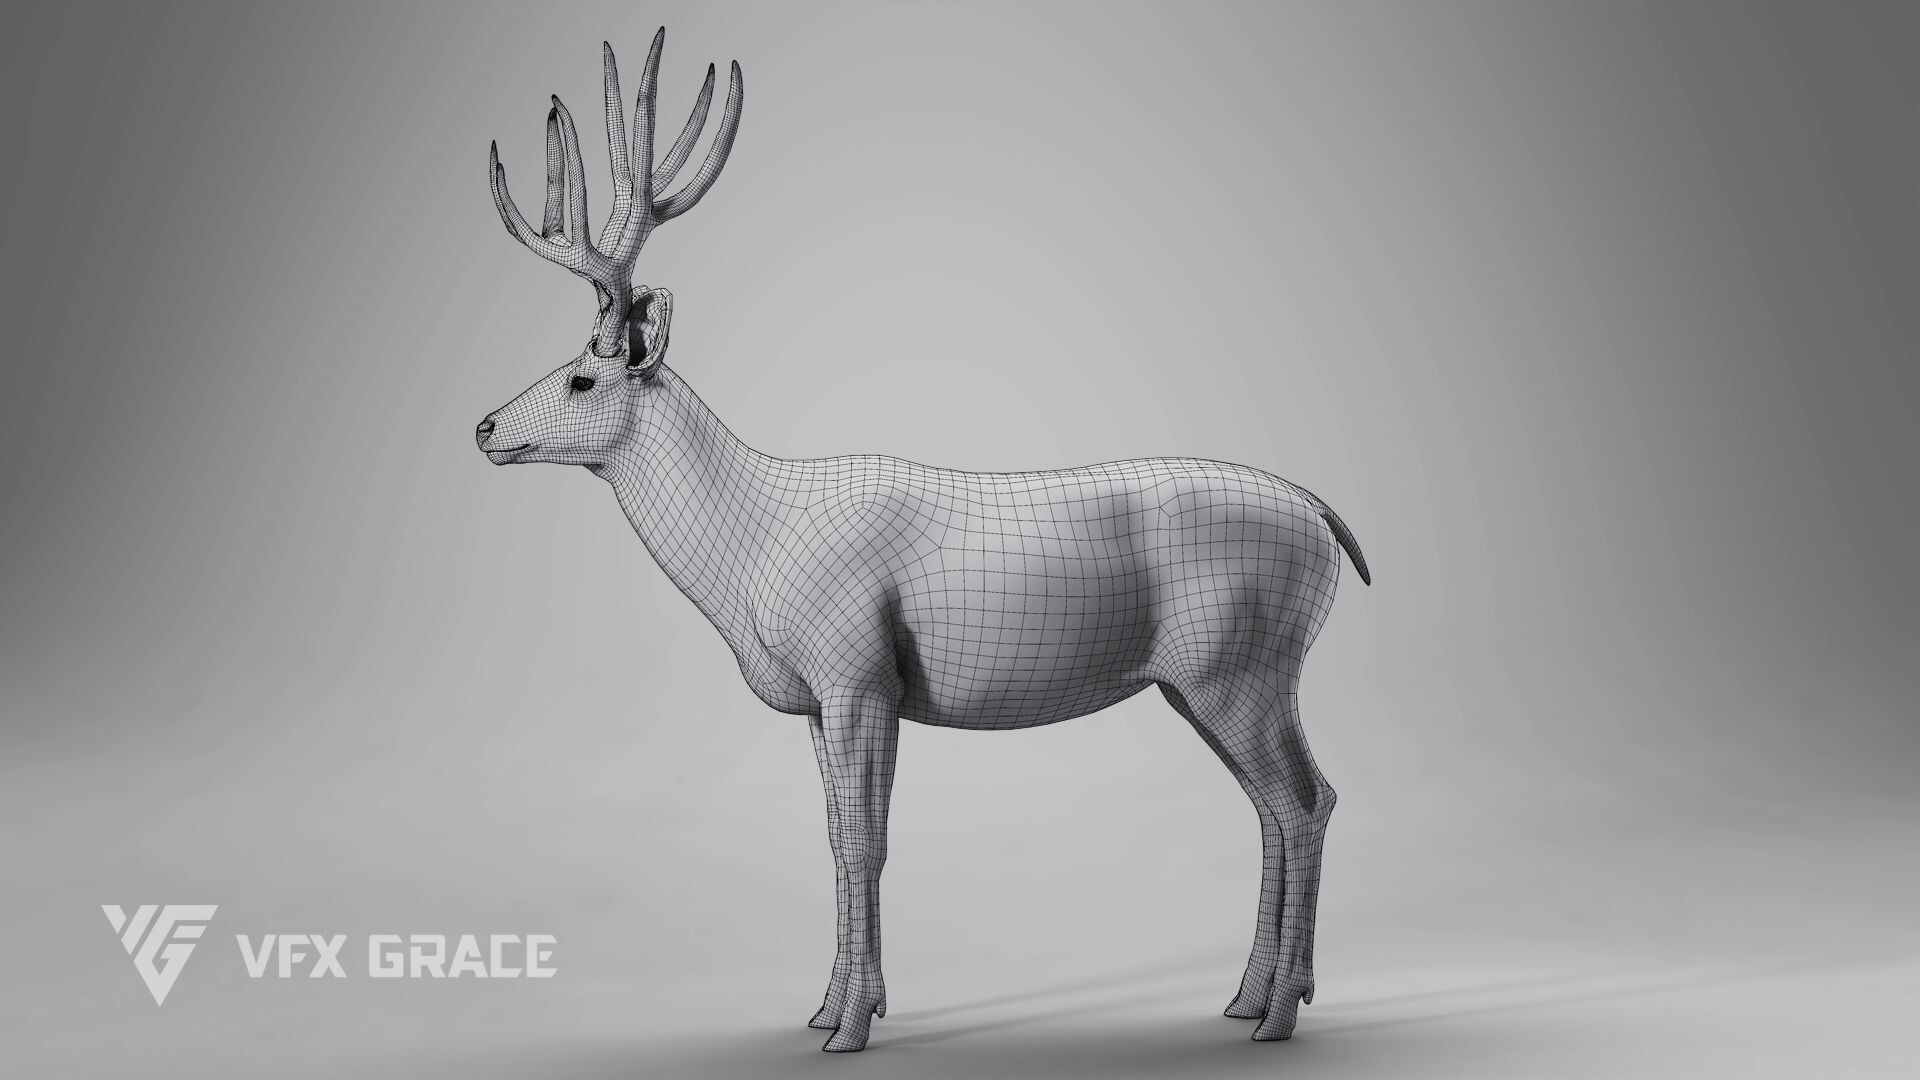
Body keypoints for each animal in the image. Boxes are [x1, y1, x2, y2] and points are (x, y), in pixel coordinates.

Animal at [475, 30, 1372, 1054]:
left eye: (583, 377)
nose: (486, 427)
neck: (755, 548)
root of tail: (1325, 517)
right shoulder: (823, 699)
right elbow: (835, 836)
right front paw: (827, 1007)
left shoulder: (858, 670)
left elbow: (866, 838)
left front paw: (853, 1026)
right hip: (1210, 681)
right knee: (1280, 804)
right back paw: (1248, 998)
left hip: (1245, 666)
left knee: (1304, 801)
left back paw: (1280, 1013)